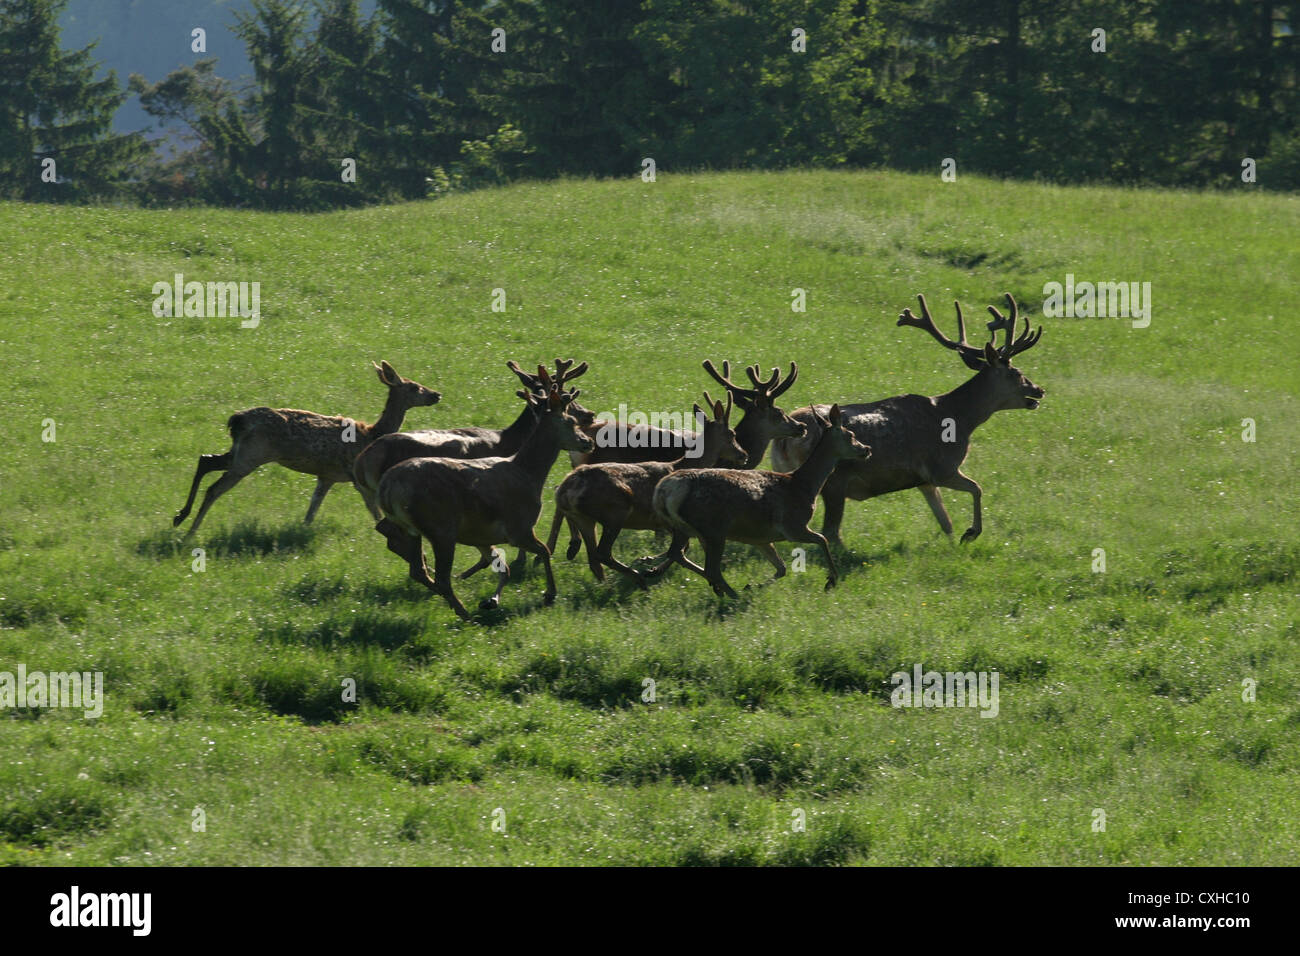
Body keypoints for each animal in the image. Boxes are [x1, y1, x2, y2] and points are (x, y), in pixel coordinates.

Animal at [172, 361, 440, 540]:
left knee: (206, 460)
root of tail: (237, 420)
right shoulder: (356, 476)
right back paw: (190, 532)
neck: (372, 434)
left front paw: (301, 532)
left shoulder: (327, 476)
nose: (436, 394)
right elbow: (375, 511)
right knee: (214, 488)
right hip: (251, 456)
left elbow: (311, 511)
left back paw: (180, 517)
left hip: (241, 452)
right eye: (415, 387)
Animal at [372, 367, 595, 620]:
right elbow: (544, 551)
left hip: (413, 529)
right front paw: (549, 594)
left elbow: (504, 568)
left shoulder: (481, 536)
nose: (588, 441)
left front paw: (491, 600)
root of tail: (387, 488)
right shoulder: (519, 526)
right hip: (440, 526)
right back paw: (465, 614)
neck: (529, 474)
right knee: (440, 578)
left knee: (417, 569)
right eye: (570, 421)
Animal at [552, 391, 747, 588]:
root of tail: (564, 492)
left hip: (584, 519)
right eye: (732, 434)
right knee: (602, 552)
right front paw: (652, 569)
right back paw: (638, 578)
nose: (743, 454)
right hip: (615, 512)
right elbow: (682, 548)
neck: (680, 464)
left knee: (593, 558)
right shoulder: (667, 520)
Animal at [648, 404, 871, 598]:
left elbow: (781, 568)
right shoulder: (792, 525)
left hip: (682, 527)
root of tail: (664, 490)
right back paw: (732, 595)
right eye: (850, 435)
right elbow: (822, 539)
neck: (804, 486)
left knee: (677, 552)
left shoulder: (761, 537)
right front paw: (831, 580)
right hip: (713, 527)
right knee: (711, 568)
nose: (866, 448)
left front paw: (752, 586)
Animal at [768, 292, 1045, 546]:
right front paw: (971, 533)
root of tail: (784, 441)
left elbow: (946, 522)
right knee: (831, 532)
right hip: (833, 480)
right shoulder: (941, 467)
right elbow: (977, 488)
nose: (1039, 390)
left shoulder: (924, 480)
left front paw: (955, 542)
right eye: (1016, 373)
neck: (960, 418)